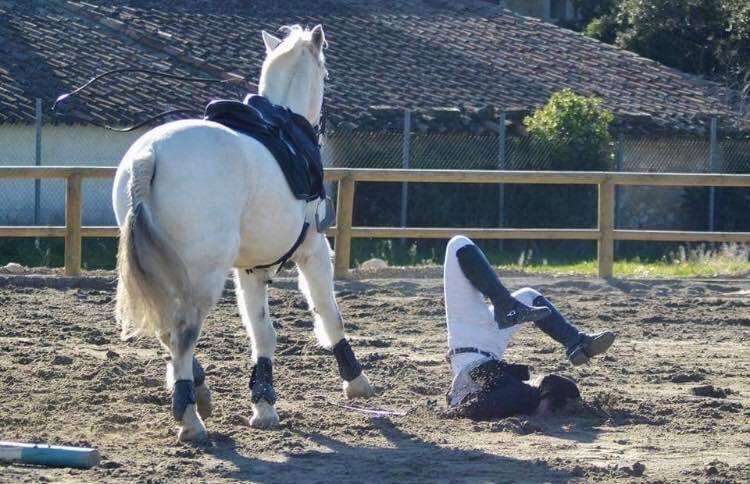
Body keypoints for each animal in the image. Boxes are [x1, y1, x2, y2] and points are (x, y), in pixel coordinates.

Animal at [112, 25, 374, 442]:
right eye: (326, 72)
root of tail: (150, 155)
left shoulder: (251, 269)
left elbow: (262, 331)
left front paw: (263, 402)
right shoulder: (314, 252)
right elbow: (330, 314)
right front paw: (356, 381)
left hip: (163, 269)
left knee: (167, 330)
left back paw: (199, 392)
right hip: (203, 276)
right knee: (181, 334)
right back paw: (190, 417)